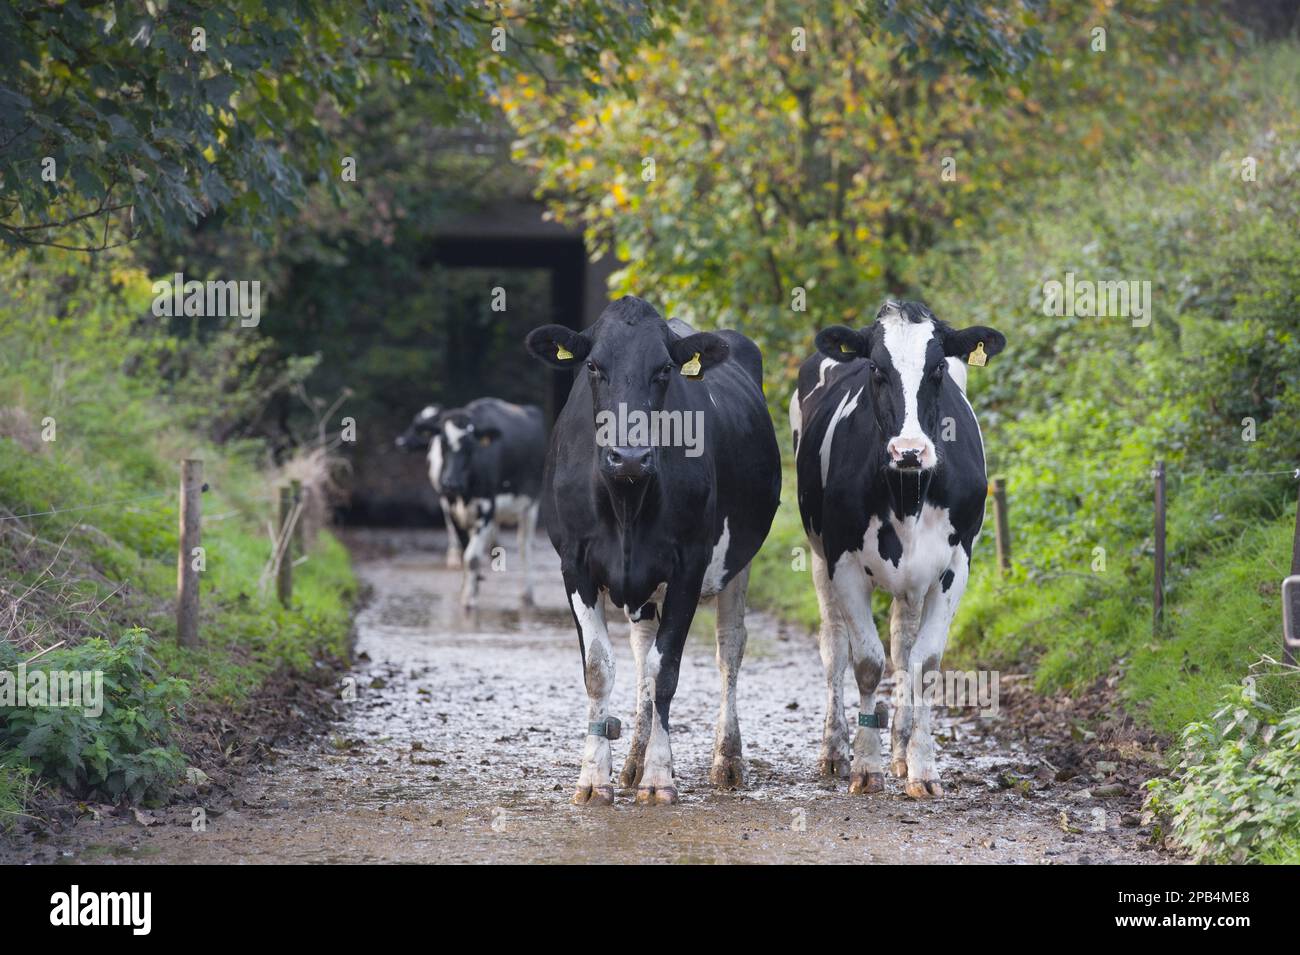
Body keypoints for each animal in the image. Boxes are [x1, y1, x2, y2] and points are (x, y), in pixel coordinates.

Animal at [397, 399, 545, 609]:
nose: (451, 482)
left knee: (525, 546)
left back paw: (528, 593)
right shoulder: (450, 505)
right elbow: (465, 549)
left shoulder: (486, 508)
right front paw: (469, 586)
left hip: (531, 504)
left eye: (470, 444)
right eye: (443, 442)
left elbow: (472, 557)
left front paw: (469, 598)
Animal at [525, 296, 781, 806]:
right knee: (642, 652)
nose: (629, 456)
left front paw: (660, 778)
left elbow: (667, 672)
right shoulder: (574, 566)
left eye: (664, 369)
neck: (627, 499)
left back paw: (727, 760)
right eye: (593, 365)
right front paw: (595, 779)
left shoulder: (689, 564)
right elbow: (601, 668)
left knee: (729, 647)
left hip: (737, 561)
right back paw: (633, 761)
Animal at [790, 300, 1005, 799]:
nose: (909, 451)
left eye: (938, 368)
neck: (907, 493)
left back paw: (902, 749)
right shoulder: (842, 562)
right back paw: (834, 750)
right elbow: (868, 662)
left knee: (903, 644)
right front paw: (865, 766)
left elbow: (922, 664)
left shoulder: (955, 565)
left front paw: (922, 767)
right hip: (817, 557)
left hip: (914, 579)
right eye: (875, 368)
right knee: (834, 648)